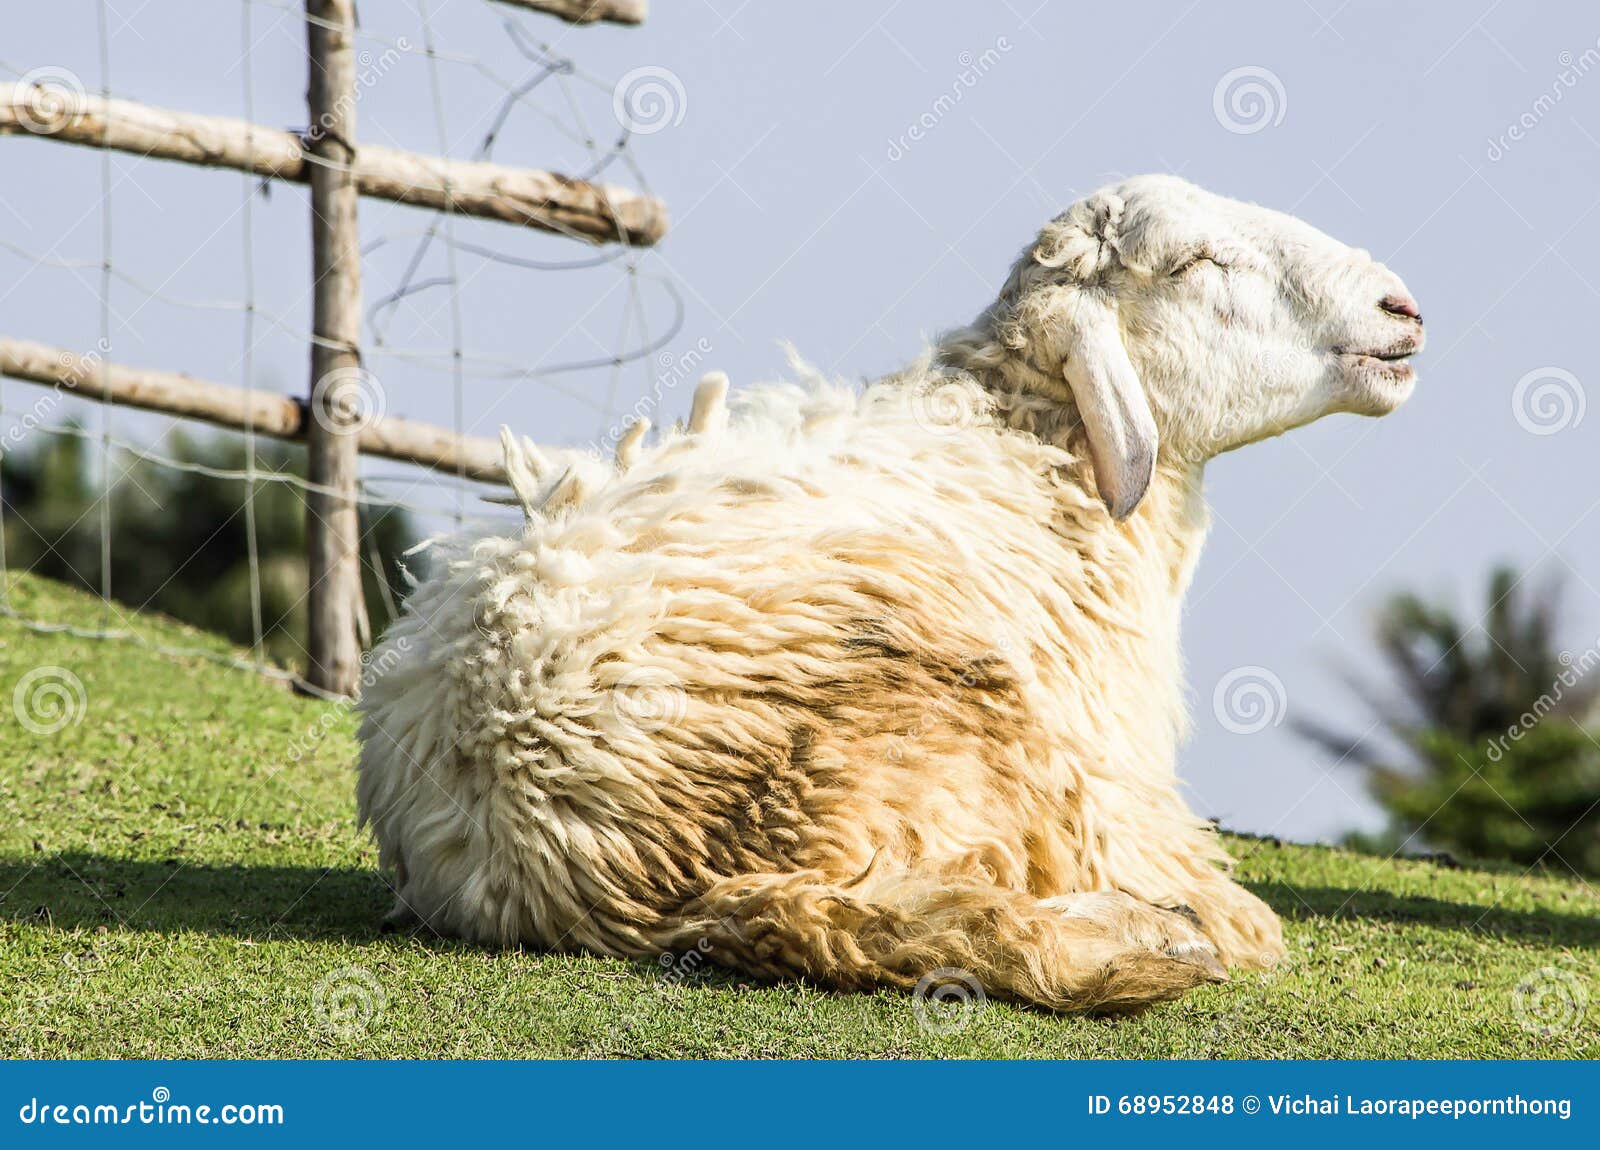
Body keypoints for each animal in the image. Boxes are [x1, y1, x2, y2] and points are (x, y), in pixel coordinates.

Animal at [356, 174, 1425, 1013]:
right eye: (1194, 262)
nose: (1401, 308)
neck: (1027, 450)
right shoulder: (1110, 801)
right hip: (953, 733)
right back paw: (1154, 930)